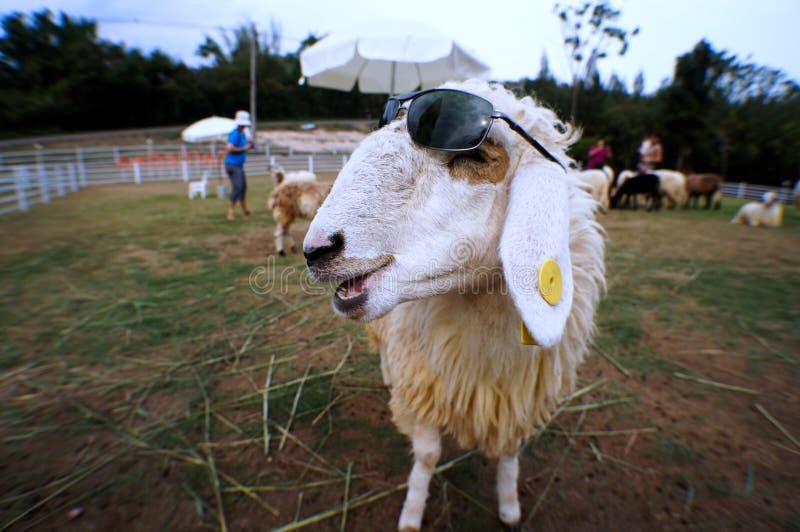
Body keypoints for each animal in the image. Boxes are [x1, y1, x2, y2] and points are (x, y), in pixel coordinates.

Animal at [303, 79, 605, 530]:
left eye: (477, 156)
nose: (316, 249)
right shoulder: (422, 382)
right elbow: (428, 455)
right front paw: (412, 512)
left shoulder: (516, 400)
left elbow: (509, 451)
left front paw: (509, 507)